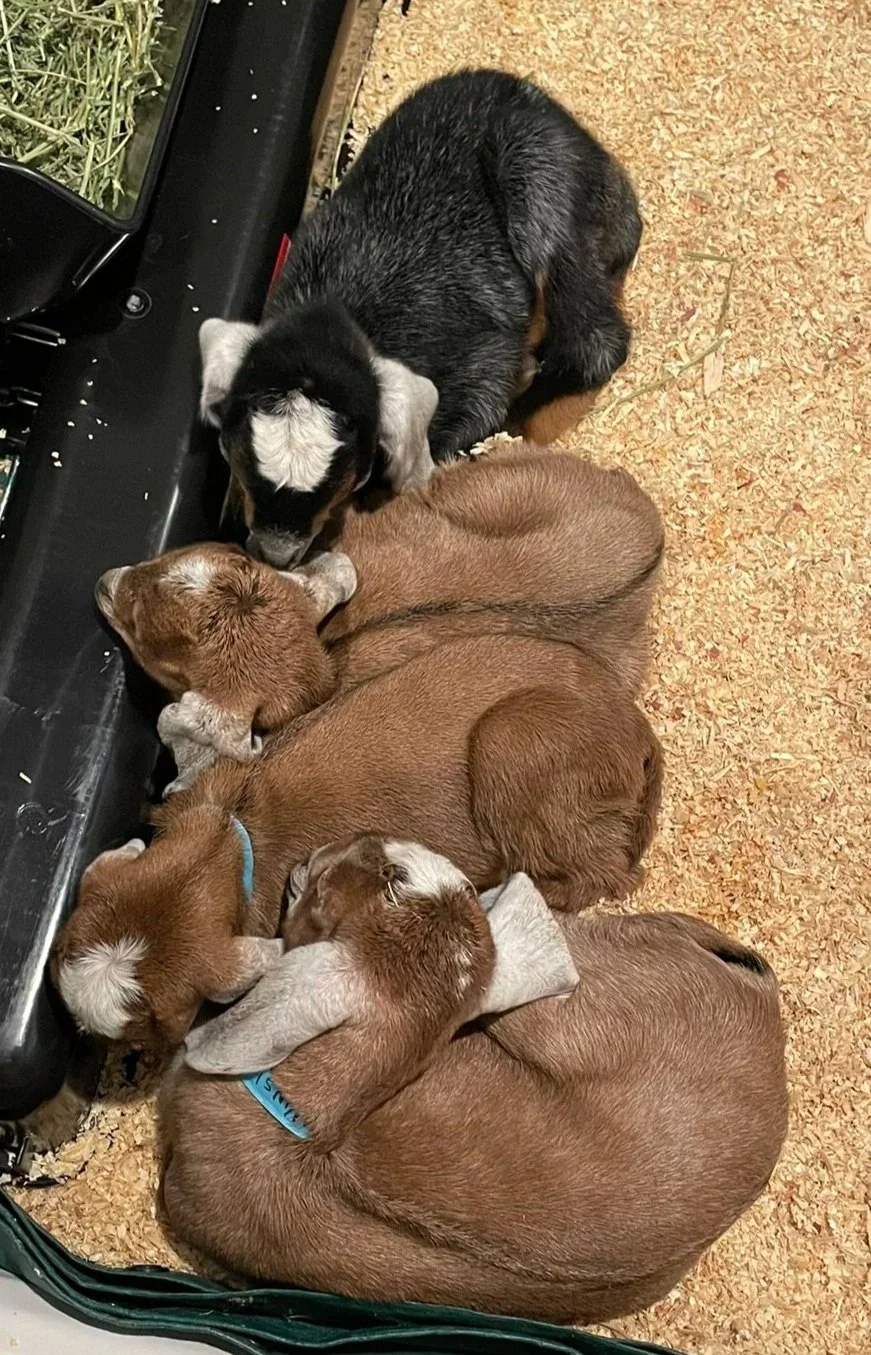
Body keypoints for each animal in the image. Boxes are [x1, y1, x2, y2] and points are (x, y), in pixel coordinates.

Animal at [198, 70, 642, 564]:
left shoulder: (479, 367)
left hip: (538, 180)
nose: (276, 554)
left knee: (596, 342)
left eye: (342, 475)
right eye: (238, 460)